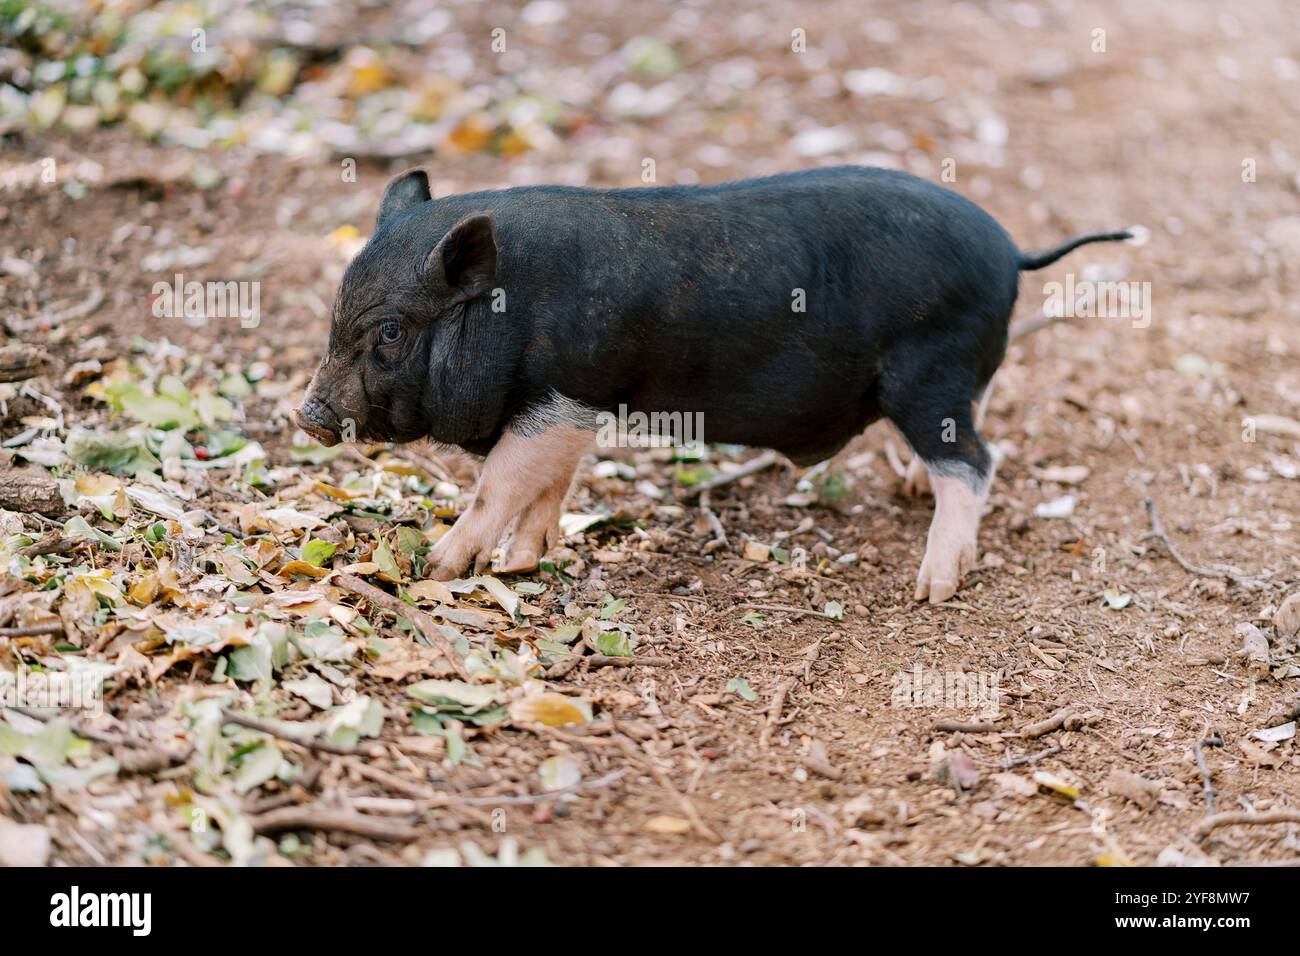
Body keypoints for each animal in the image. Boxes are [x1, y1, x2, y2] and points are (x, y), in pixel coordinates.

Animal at [294, 166, 1135, 601]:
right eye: (335, 314)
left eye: (390, 332)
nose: (309, 413)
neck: (508, 310)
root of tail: (1012, 251)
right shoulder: (571, 408)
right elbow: (546, 487)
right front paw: (523, 564)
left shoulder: (565, 393)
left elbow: (498, 483)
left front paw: (438, 569)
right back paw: (907, 492)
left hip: (930, 373)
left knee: (974, 462)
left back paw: (930, 586)